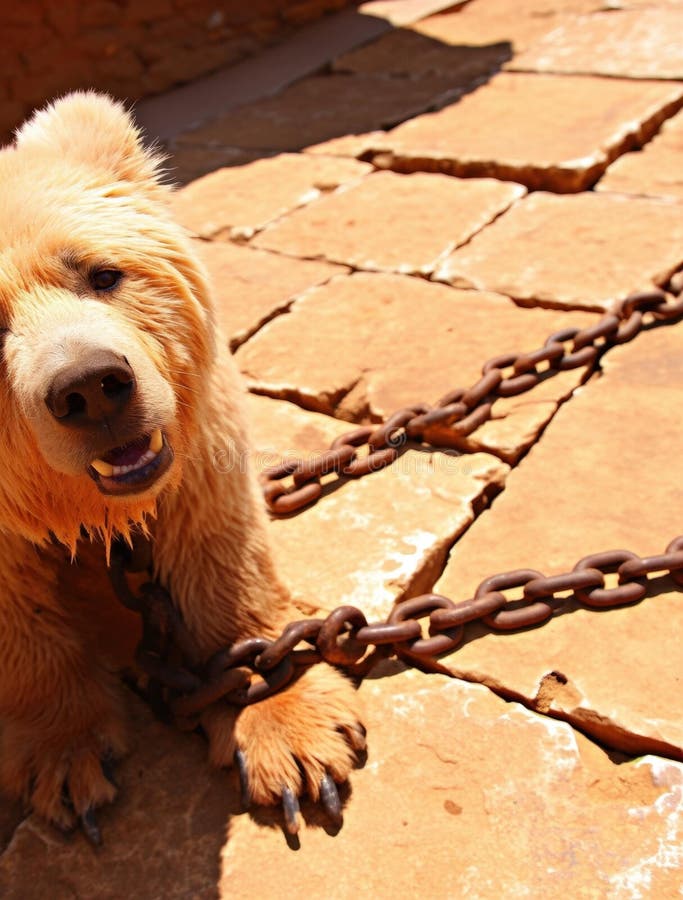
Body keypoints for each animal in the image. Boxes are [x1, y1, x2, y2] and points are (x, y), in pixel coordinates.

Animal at [0, 92, 364, 839]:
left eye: (102, 273)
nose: (90, 388)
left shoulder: (197, 442)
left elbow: (219, 549)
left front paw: (293, 735)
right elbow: (16, 614)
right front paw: (63, 762)